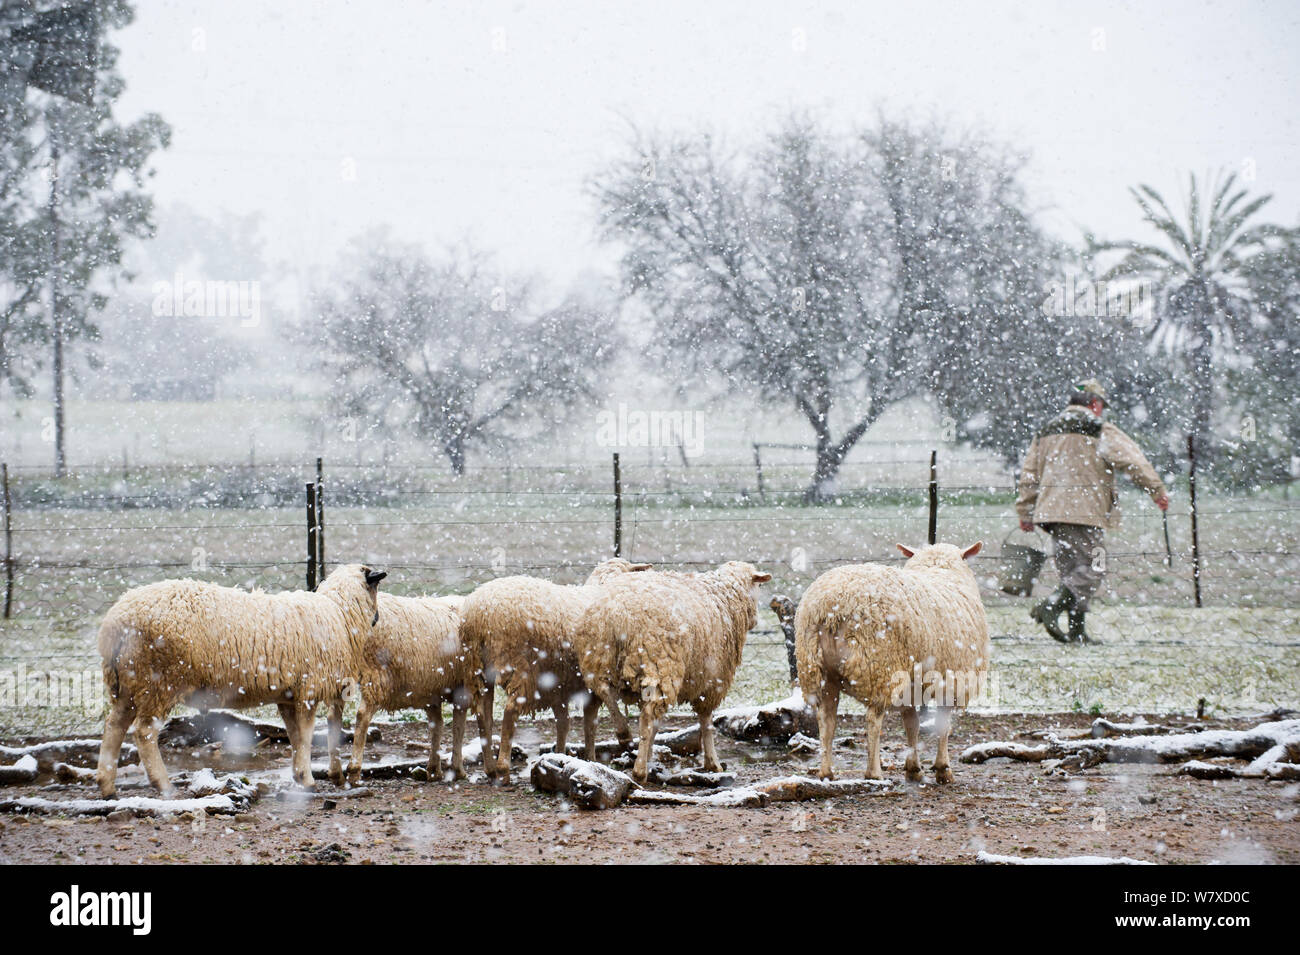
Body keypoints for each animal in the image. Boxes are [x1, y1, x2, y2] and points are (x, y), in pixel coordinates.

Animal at [95, 564, 386, 797]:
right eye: (376, 588)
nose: (377, 619)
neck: (339, 612)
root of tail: (114, 623)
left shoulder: (288, 695)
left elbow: (294, 736)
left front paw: (298, 776)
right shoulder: (308, 688)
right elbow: (304, 736)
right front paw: (308, 780)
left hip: (129, 684)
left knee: (114, 726)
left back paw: (107, 786)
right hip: (158, 681)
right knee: (144, 732)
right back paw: (163, 784)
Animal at [325, 593, 480, 783]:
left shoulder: (429, 692)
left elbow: (437, 725)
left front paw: (434, 769)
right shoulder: (461, 687)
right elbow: (458, 727)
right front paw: (457, 770)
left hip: (342, 671)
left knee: (333, 716)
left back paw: (335, 772)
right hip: (377, 675)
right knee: (362, 716)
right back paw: (354, 770)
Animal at [463, 558, 652, 779]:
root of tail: (480, 614)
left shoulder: (559, 687)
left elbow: (565, 723)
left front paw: (560, 757)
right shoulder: (591, 682)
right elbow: (590, 724)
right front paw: (597, 755)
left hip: (479, 672)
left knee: (483, 718)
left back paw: (491, 768)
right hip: (522, 669)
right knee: (509, 713)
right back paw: (503, 769)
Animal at [575, 561, 772, 783]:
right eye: (759, 585)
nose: (756, 620)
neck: (726, 596)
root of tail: (614, 612)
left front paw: (650, 754)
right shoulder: (713, 679)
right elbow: (706, 721)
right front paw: (713, 763)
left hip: (597, 658)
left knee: (601, 694)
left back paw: (619, 737)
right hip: (659, 665)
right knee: (646, 717)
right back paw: (638, 769)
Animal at [794, 542, 988, 783]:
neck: (941, 571)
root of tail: (831, 608)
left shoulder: (912, 684)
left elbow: (911, 723)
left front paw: (913, 768)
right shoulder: (953, 680)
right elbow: (942, 725)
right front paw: (943, 769)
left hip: (817, 671)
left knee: (826, 720)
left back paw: (826, 772)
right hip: (879, 667)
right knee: (872, 719)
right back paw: (873, 772)